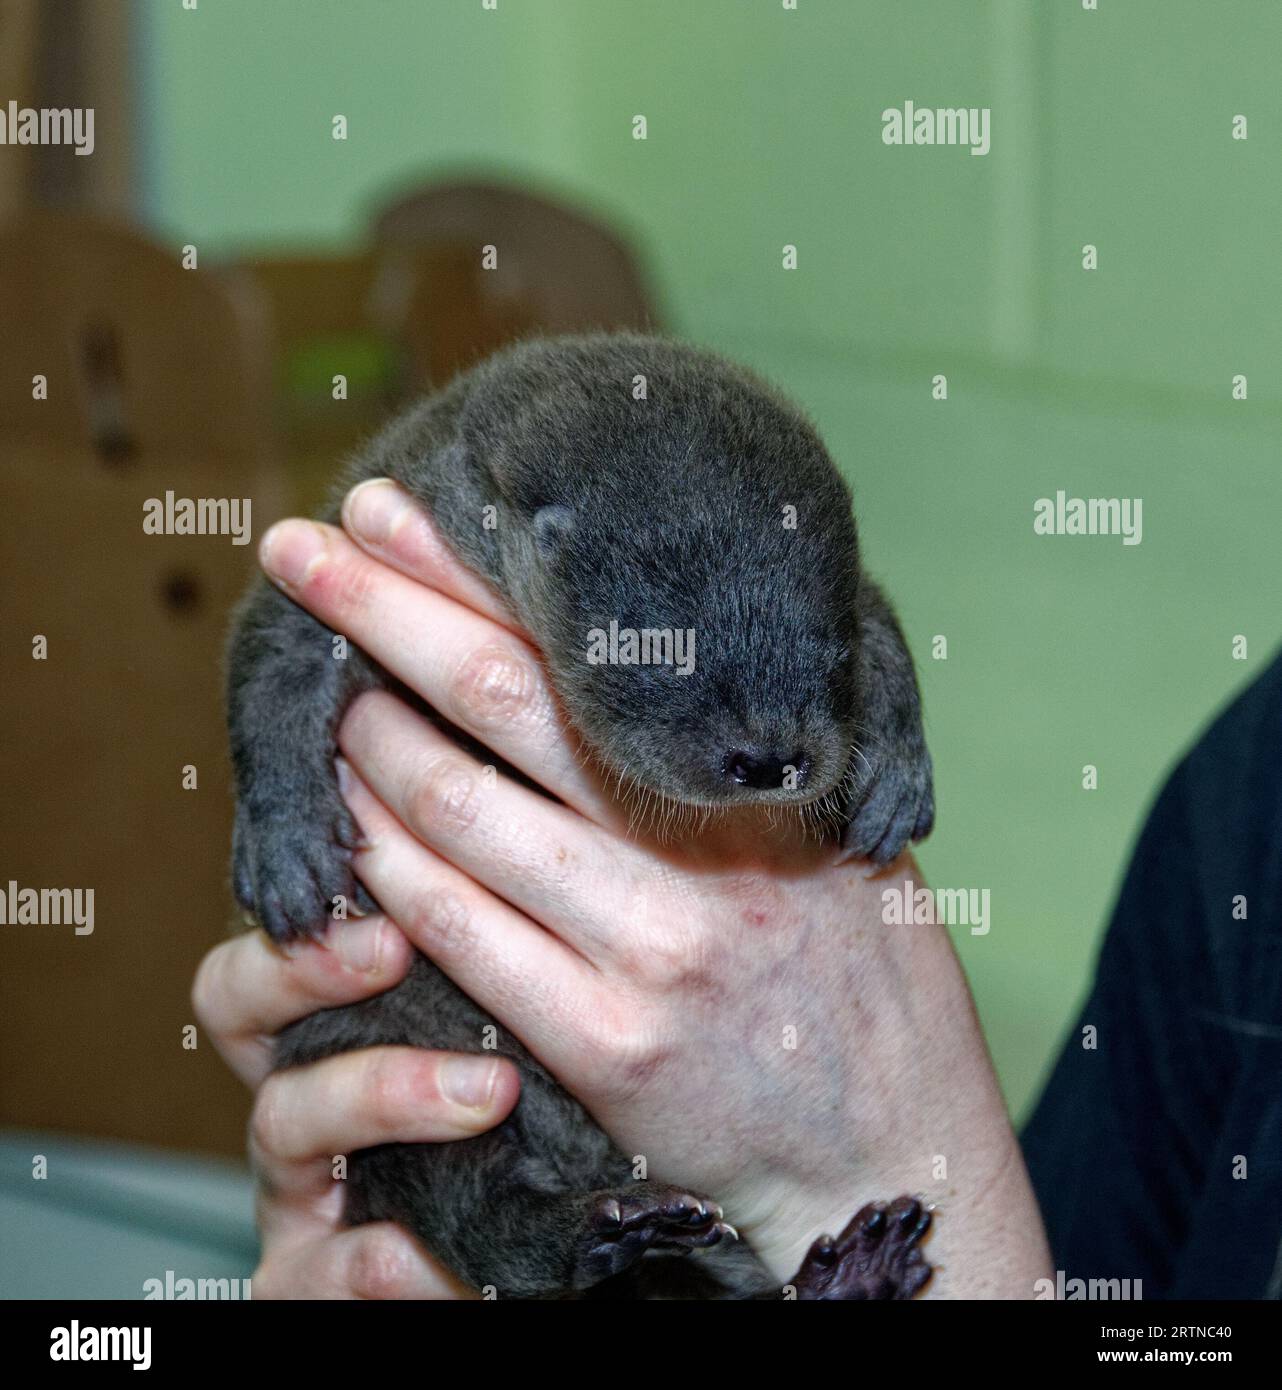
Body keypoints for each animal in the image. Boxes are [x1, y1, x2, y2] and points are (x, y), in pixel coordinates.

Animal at [226, 333, 935, 1299]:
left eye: (832, 654)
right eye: (663, 648)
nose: (770, 758)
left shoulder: (860, 607)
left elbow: (889, 632)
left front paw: (898, 768)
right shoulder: (350, 533)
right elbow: (276, 649)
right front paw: (285, 839)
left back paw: (844, 1276)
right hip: (405, 1076)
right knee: (477, 1214)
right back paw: (597, 1232)